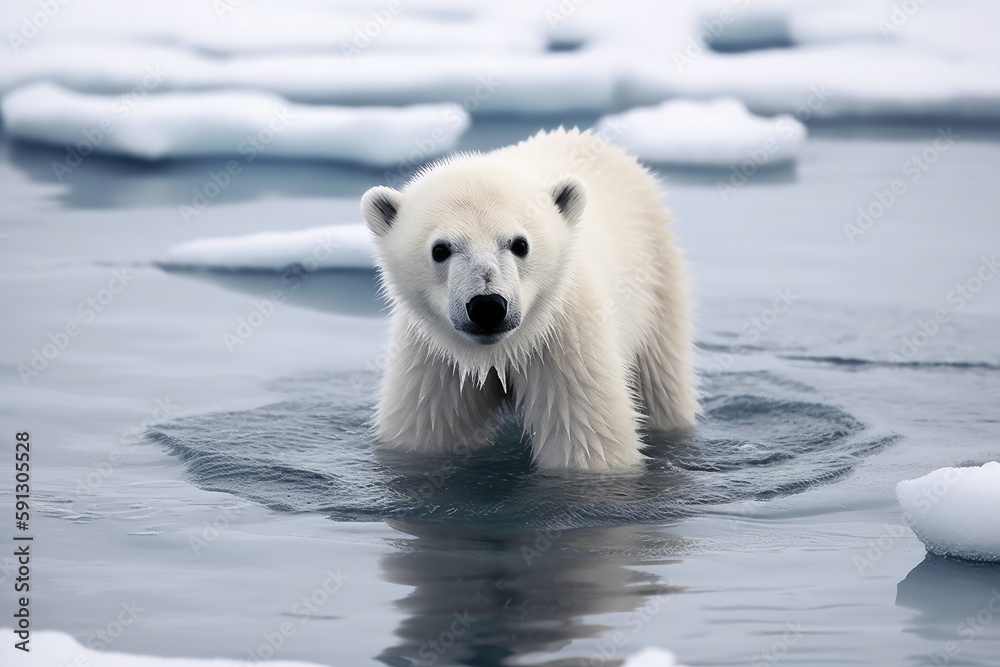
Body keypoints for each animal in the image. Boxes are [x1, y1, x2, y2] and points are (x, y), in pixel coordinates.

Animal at [360, 127, 699, 472]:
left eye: (519, 244)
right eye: (440, 249)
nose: (487, 306)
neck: (496, 353)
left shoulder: (567, 342)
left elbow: (588, 437)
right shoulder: (433, 359)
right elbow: (425, 429)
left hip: (658, 282)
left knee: (662, 380)